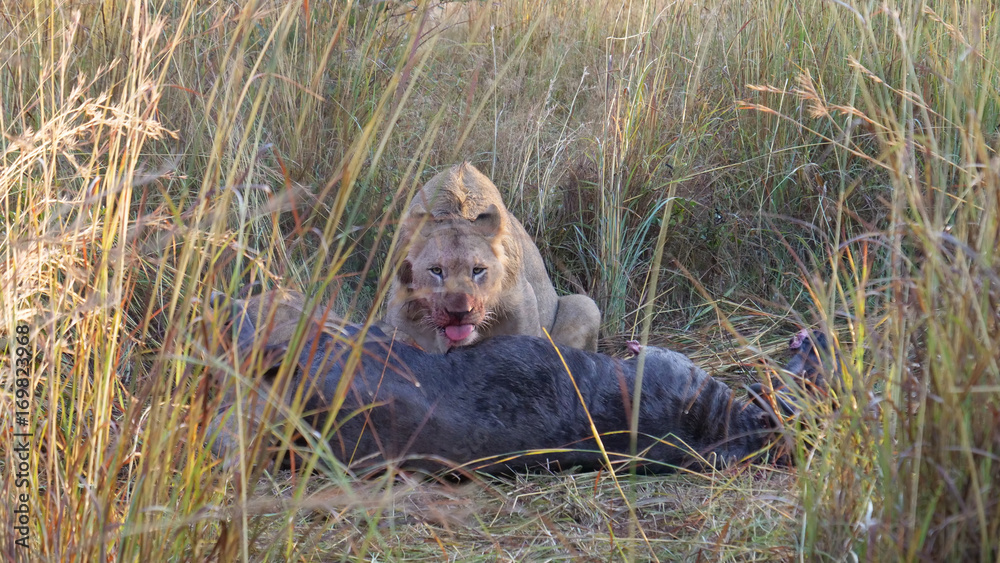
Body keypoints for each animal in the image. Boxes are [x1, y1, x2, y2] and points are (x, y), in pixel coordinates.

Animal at [385, 162, 601, 353]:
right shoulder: (401, 308)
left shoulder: (523, 304)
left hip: (586, 305)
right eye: (436, 270)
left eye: (478, 270)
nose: (459, 313)